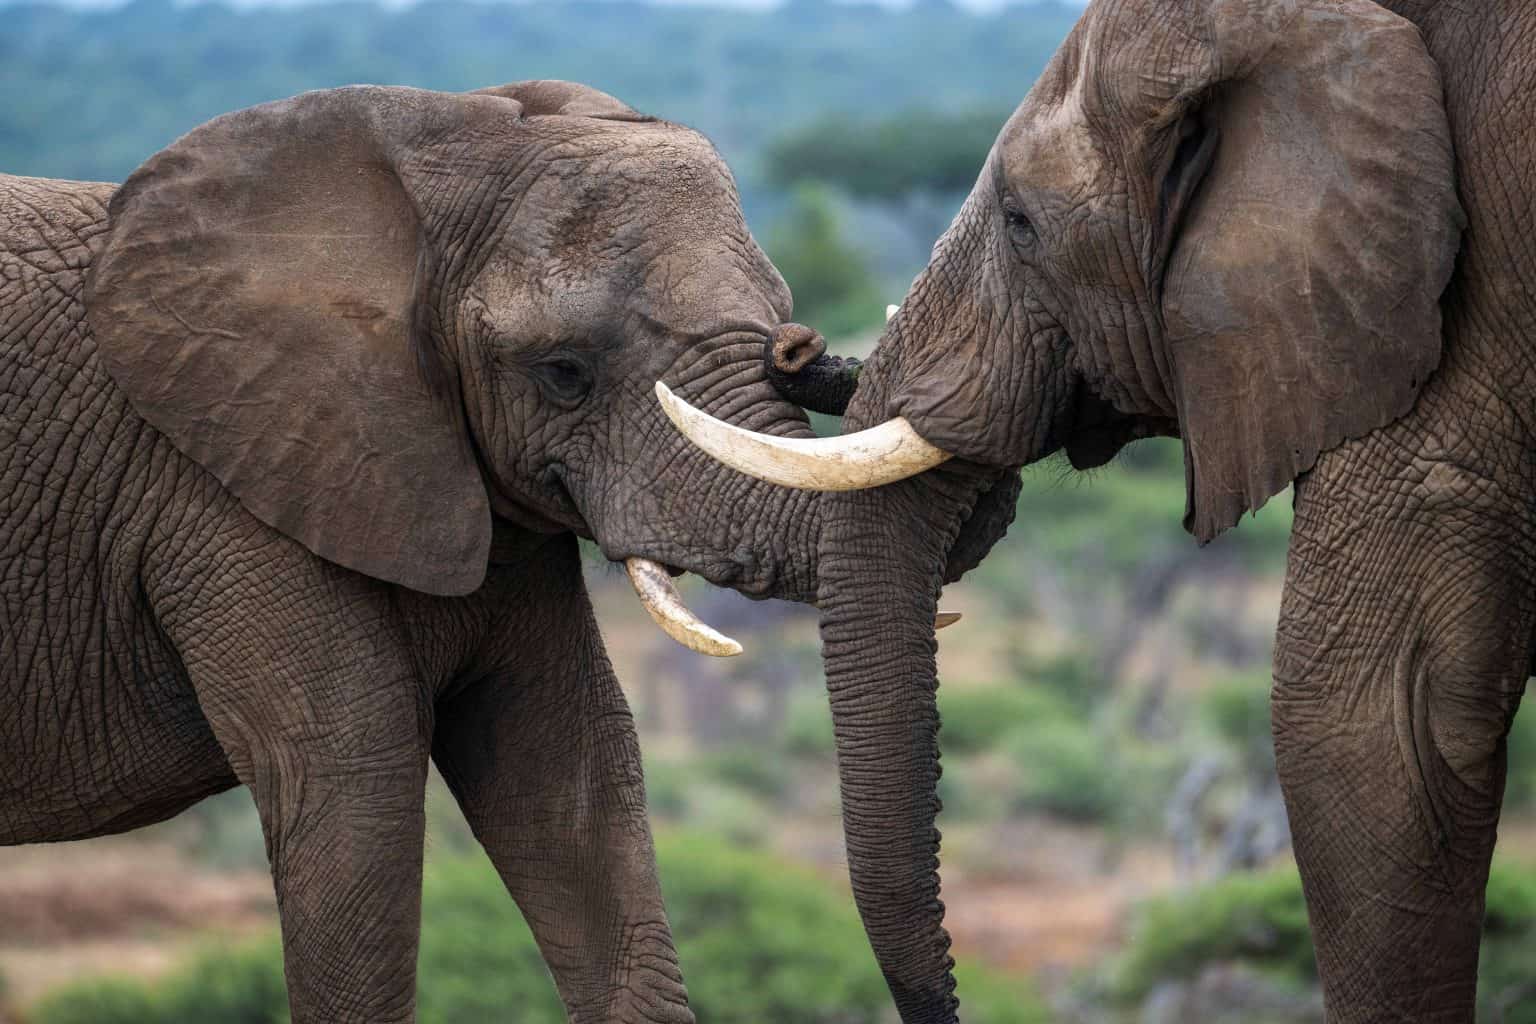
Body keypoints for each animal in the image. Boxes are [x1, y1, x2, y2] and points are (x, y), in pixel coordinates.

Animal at [0, 80, 832, 1023]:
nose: (803, 348)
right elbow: (356, 777)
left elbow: (571, 764)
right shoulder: (227, 490)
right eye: (562, 372)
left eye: (780, 315)